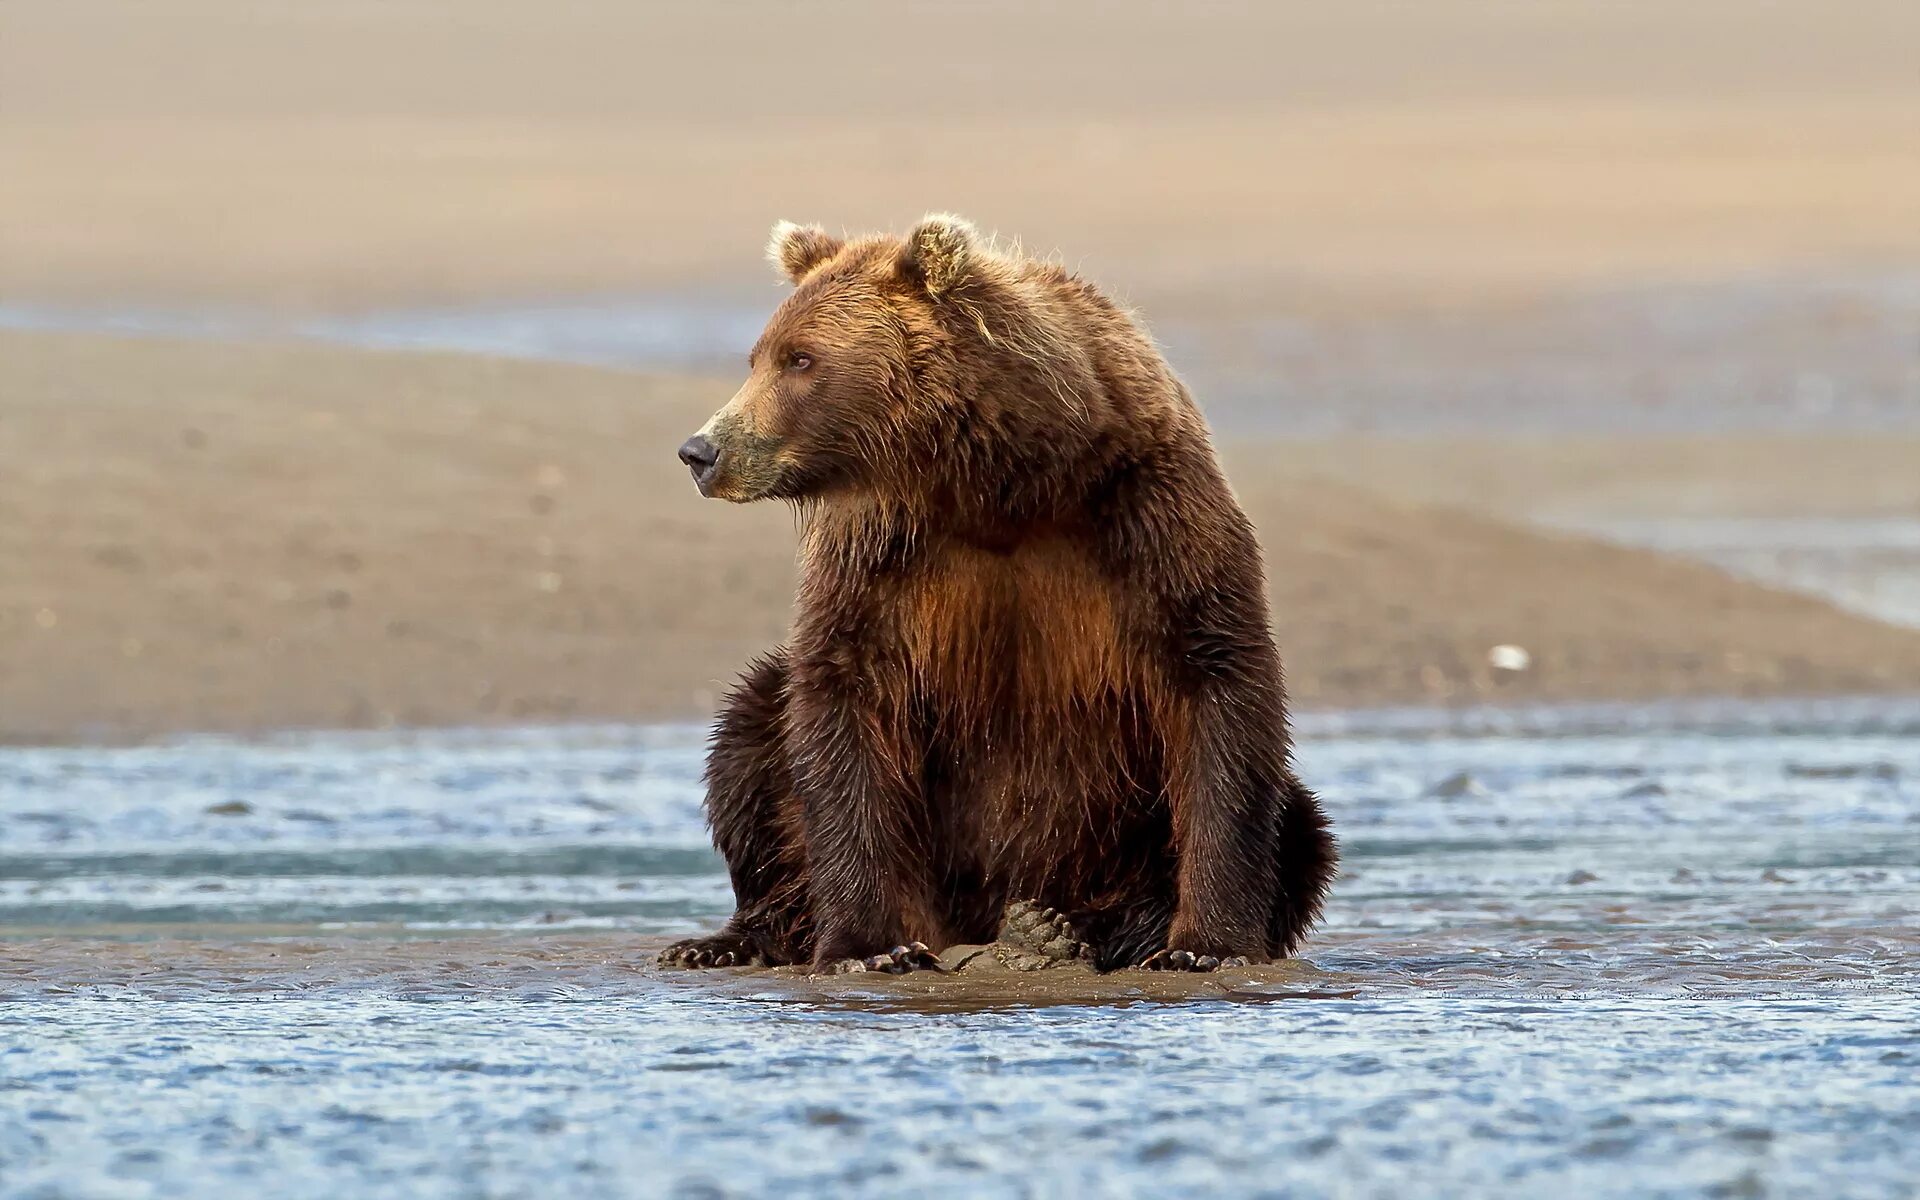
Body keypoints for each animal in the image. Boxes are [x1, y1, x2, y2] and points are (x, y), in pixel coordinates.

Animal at [660, 215, 1335, 974]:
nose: (702, 451)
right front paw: (870, 947)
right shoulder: (881, 554)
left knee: (1300, 826)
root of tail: (973, 923)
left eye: (800, 360)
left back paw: (1080, 929)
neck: (998, 481)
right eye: (758, 357)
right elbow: (841, 698)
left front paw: (1205, 947)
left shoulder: (1147, 512)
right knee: (748, 743)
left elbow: (1216, 680)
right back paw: (722, 941)